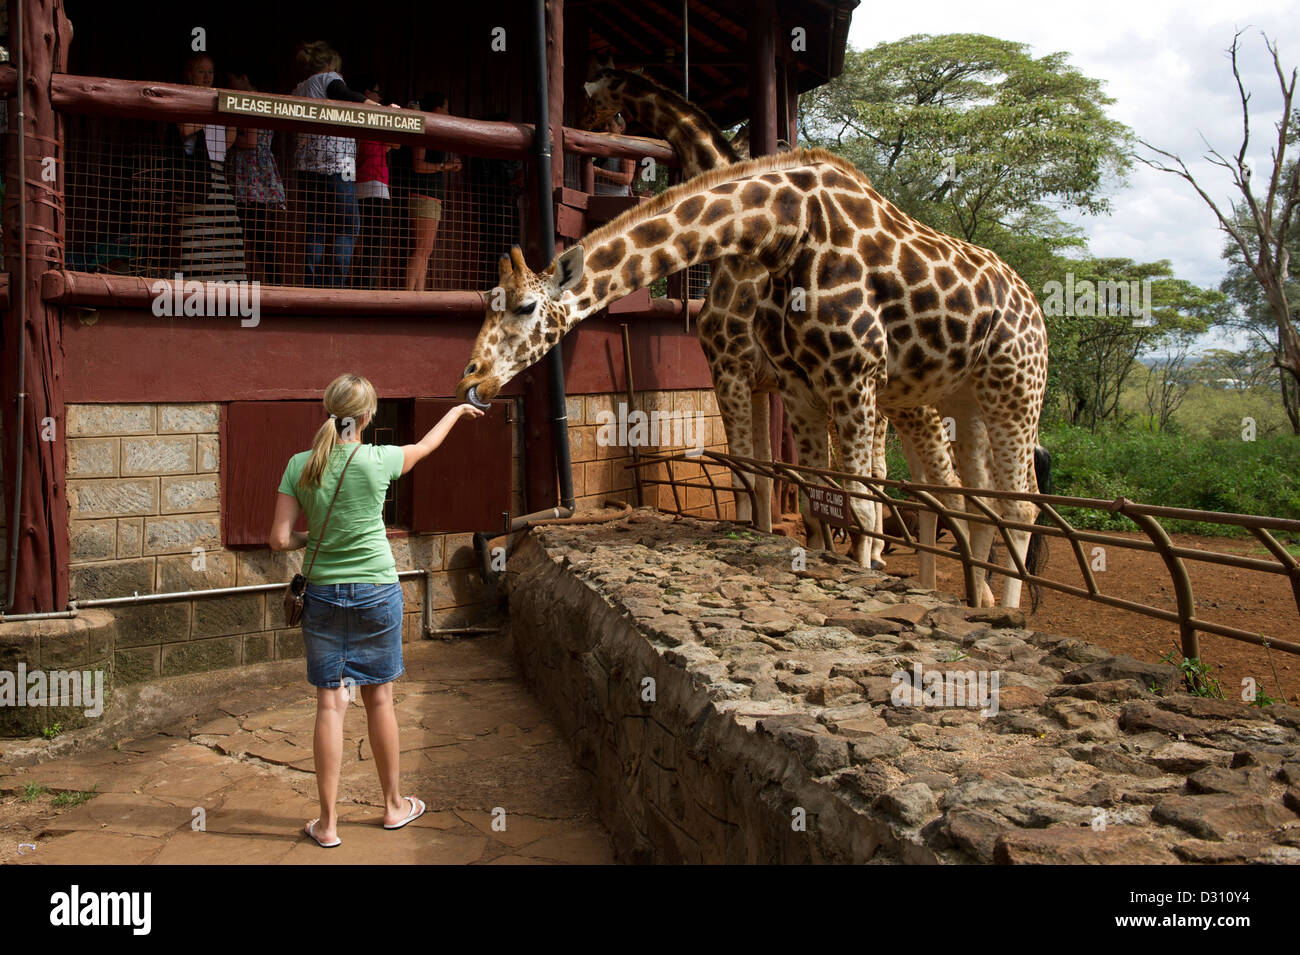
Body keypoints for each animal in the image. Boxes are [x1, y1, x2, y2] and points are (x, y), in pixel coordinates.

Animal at [458, 148, 1048, 607]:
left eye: (526, 307)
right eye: (488, 304)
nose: (472, 380)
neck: (785, 231)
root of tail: (1034, 303)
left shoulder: (851, 378)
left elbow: (858, 504)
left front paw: (863, 574)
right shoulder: (801, 389)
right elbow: (806, 499)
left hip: (1014, 391)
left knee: (1017, 504)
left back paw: (1004, 611)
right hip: (966, 401)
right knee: (977, 502)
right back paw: (980, 598)